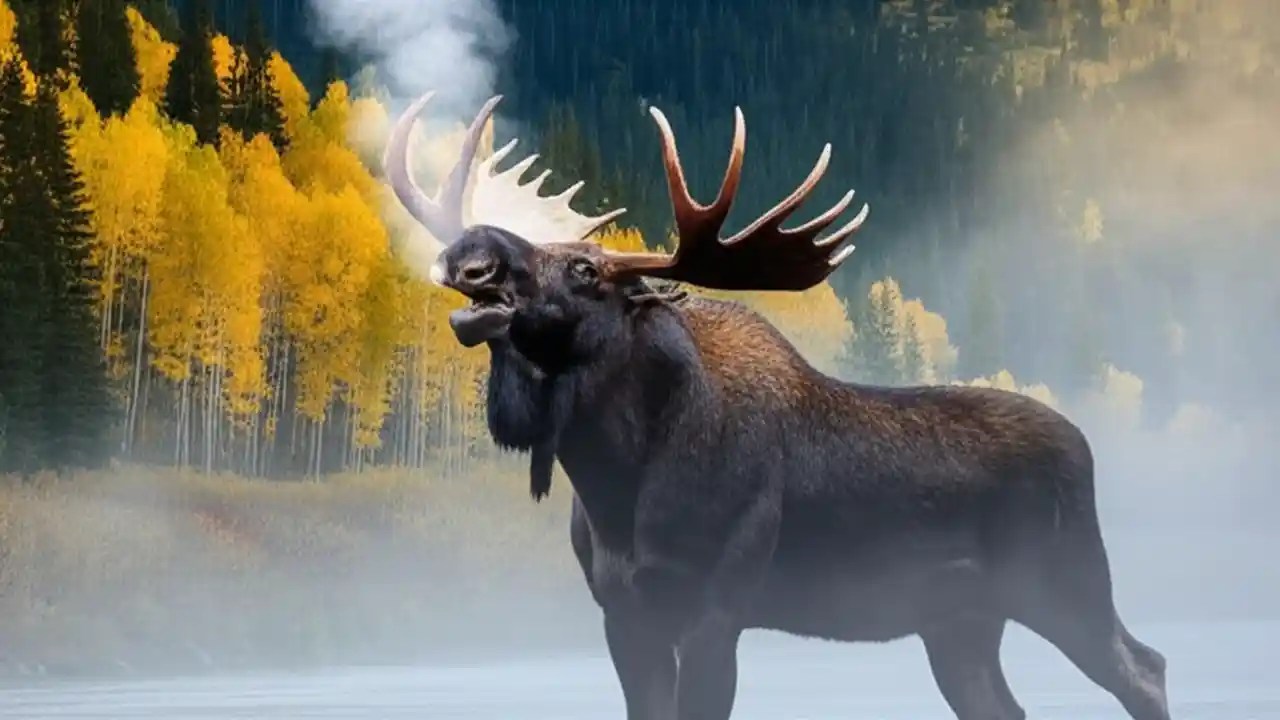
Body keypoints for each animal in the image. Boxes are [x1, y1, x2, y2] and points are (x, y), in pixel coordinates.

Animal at [382, 92, 1172, 720]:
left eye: (585, 269)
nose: (472, 253)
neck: (615, 483)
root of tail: (1086, 447)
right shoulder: (623, 615)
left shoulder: (715, 611)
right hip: (960, 625)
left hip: (1065, 583)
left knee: (1146, 667)